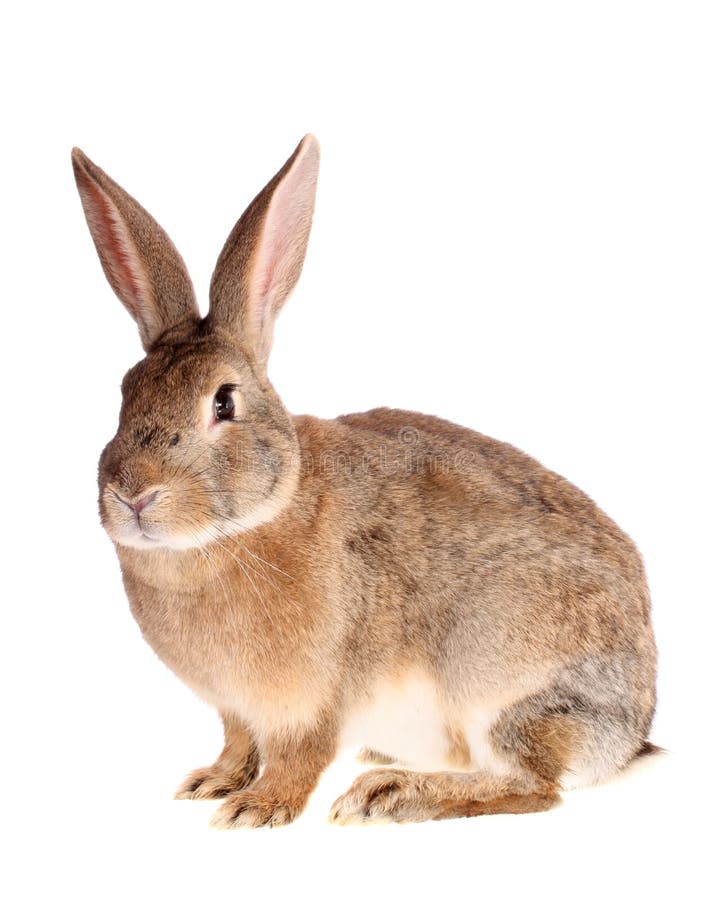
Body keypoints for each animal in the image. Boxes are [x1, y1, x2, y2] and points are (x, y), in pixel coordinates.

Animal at [71, 135, 658, 828]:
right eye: (125, 393)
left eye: (223, 402)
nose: (133, 494)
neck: (251, 521)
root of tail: (630, 733)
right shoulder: (235, 709)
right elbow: (237, 743)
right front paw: (212, 782)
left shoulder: (314, 700)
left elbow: (299, 758)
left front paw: (256, 809)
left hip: (501, 680)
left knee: (534, 785)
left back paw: (394, 792)